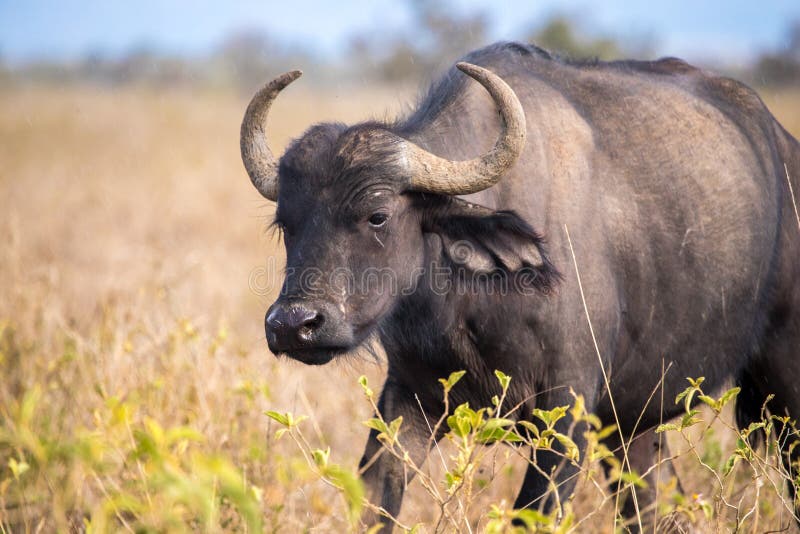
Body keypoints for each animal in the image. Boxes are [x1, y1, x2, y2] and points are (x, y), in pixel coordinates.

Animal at [241, 42, 800, 530]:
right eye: (287, 223)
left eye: (377, 214)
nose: (294, 324)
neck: (473, 297)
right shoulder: (410, 397)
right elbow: (375, 499)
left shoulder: (567, 419)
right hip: (631, 425)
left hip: (781, 380)